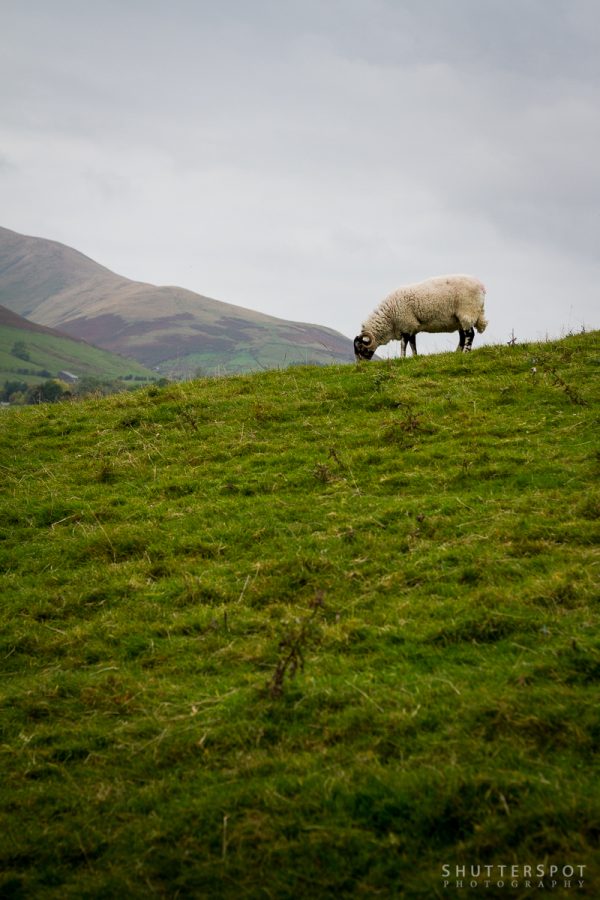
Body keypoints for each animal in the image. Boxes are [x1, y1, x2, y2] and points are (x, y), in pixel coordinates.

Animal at [354, 275, 488, 360]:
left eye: (360, 348)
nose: (361, 366)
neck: (389, 318)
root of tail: (482, 287)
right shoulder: (411, 326)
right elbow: (413, 344)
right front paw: (415, 357)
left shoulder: (406, 324)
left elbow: (403, 344)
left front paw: (402, 358)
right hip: (459, 318)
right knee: (462, 336)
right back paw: (457, 353)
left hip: (467, 311)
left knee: (469, 334)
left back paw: (465, 352)